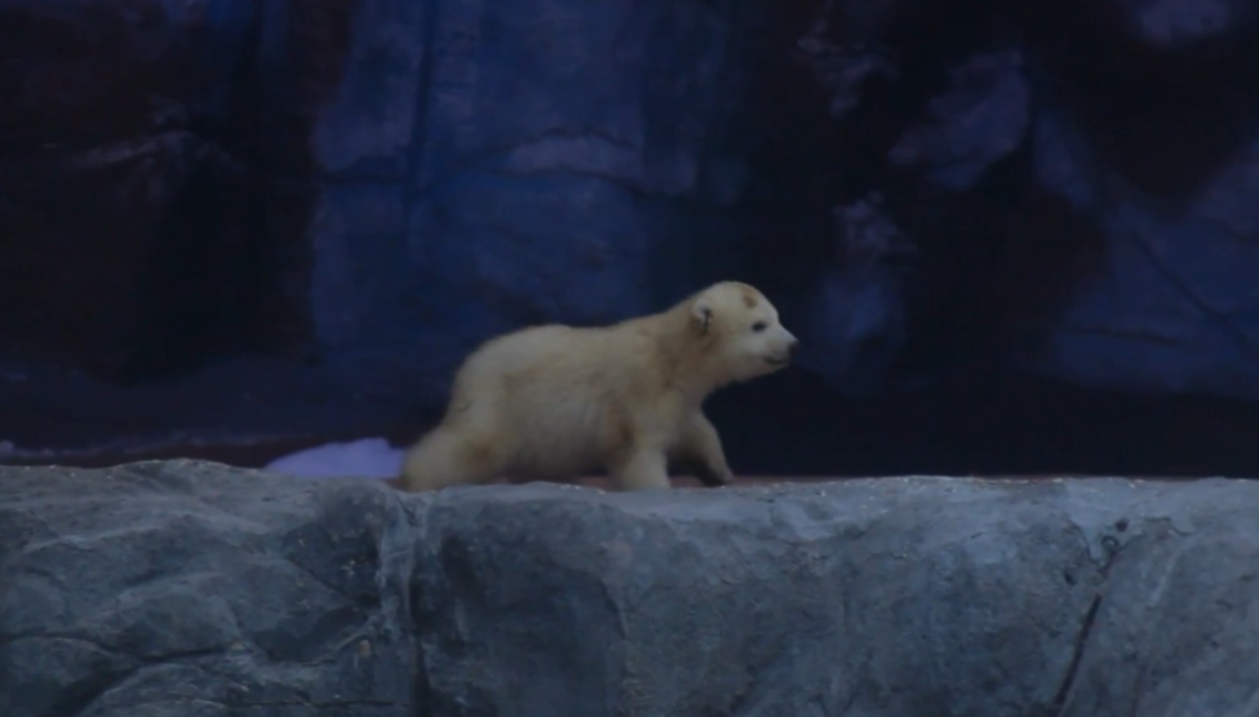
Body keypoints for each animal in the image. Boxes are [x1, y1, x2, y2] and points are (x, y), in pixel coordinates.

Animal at [395, 280, 800, 492]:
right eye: (759, 325)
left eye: (778, 316)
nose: (794, 345)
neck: (673, 356)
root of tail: (467, 369)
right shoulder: (641, 389)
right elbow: (638, 451)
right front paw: (658, 488)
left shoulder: (680, 398)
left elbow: (697, 430)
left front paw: (718, 471)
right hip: (499, 402)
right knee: (472, 444)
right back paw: (414, 477)